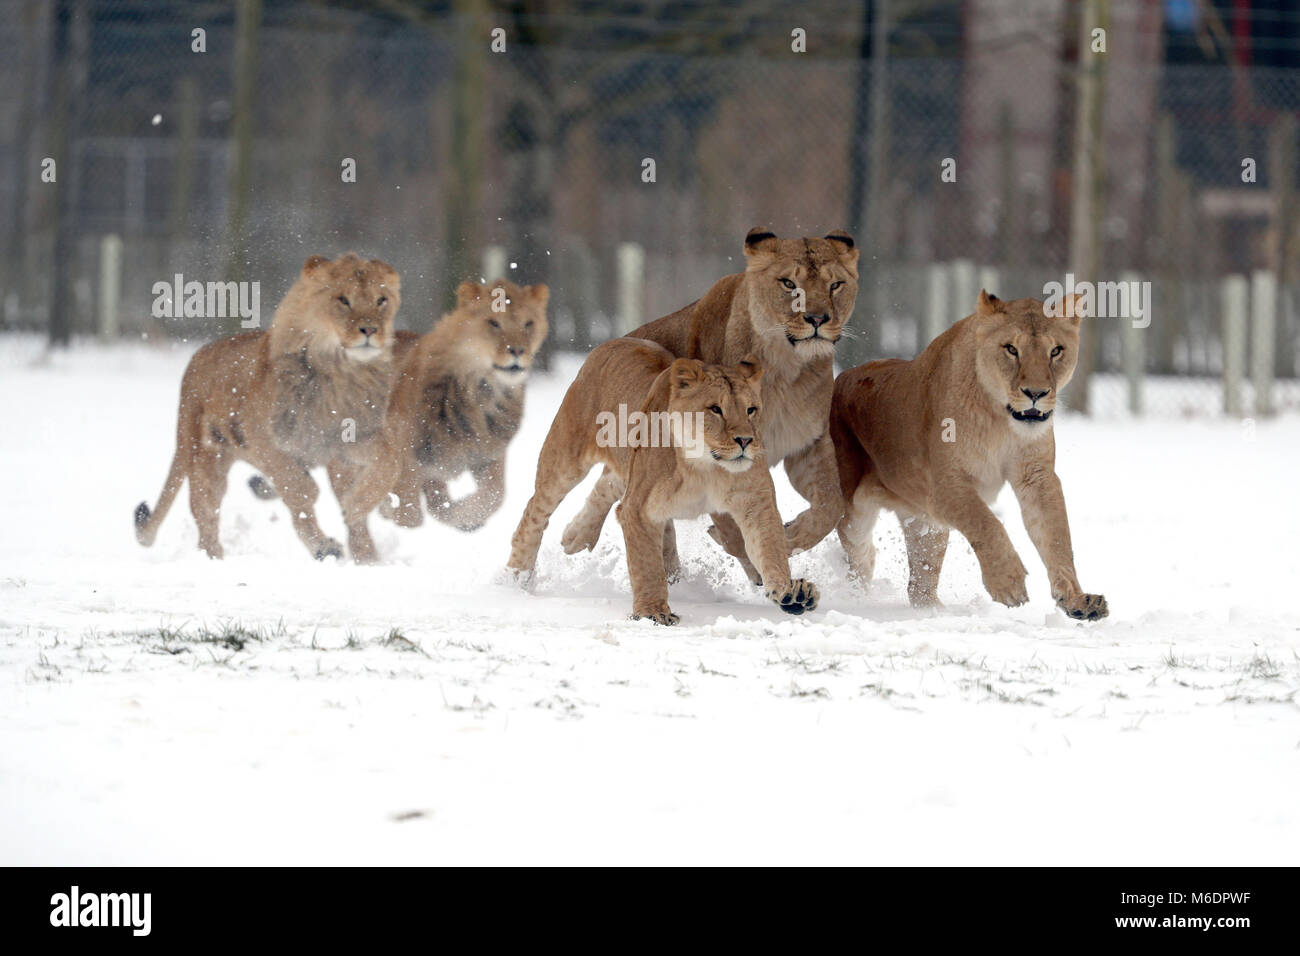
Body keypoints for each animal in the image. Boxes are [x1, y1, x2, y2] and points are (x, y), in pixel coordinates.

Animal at [134, 253, 401, 560]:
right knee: (206, 517)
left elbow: (390, 462)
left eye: (381, 300)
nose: (370, 330)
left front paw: (356, 504)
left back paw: (364, 557)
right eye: (343, 300)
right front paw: (320, 523)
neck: (338, 370)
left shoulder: (349, 438)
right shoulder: (263, 438)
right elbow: (298, 487)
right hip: (205, 456)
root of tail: (197, 356)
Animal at [339, 279, 549, 562]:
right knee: (358, 513)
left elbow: (495, 496)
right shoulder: (405, 452)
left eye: (528, 324)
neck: (480, 392)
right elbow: (409, 513)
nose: (517, 351)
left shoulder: (488, 453)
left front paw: (466, 517)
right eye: (493, 323)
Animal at [507, 337, 819, 625]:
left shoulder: (756, 503)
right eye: (715, 409)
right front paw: (652, 612)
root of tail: (616, 341)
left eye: (751, 409)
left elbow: (770, 548)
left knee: (609, 487)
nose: (745, 440)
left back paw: (577, 536)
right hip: (566, 458)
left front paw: (790, 592)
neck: (705, 467)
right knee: (535, 511)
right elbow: (646, 565)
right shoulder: (638, 509)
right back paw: (516, 577)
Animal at [560, 228, 859, 586]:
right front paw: (760, 561)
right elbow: (734, 532)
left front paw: (792, 537)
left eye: (835, 285)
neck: (787, 368)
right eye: (789, 283)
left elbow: (831, 504)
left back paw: (580, 536)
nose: (816, 318)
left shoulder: (808, 443)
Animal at [830, 290, 1107, 620]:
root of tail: (838, 380)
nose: (1036, 393)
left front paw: (1076, 599)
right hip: (855, 513)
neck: (999, 417)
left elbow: (1056, 537)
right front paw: (1008, 582)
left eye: (1056, 351)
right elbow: (987, 523)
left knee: (919, 585)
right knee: (861, 553)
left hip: (925, 524)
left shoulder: (1037, 477)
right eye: (1011, 349)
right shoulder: (945, 486)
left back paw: (935, 612)